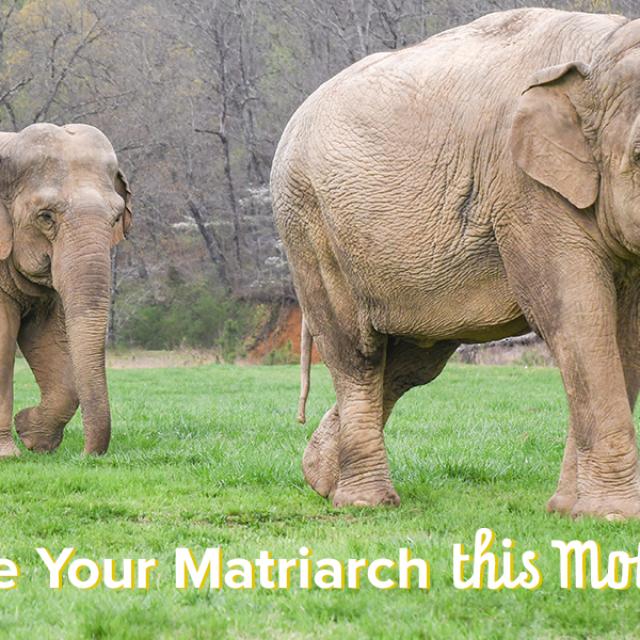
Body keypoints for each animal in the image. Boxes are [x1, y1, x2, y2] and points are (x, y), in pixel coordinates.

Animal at [0, 123, 131, 458]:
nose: (85, 456)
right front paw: (9, 455)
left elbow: (45, 337)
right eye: (46, 216)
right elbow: (2, 344)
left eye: (116, 217)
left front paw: (33, 438)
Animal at [271, 7, 640, 518]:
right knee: (358, 354)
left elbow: (627, 334)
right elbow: (579, 318)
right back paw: (366, 502)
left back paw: (320, 478)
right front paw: (609, 516)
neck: (604, 45)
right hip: (308, 223)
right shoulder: (526, 190)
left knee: (411, 362)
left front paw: (566, 510)